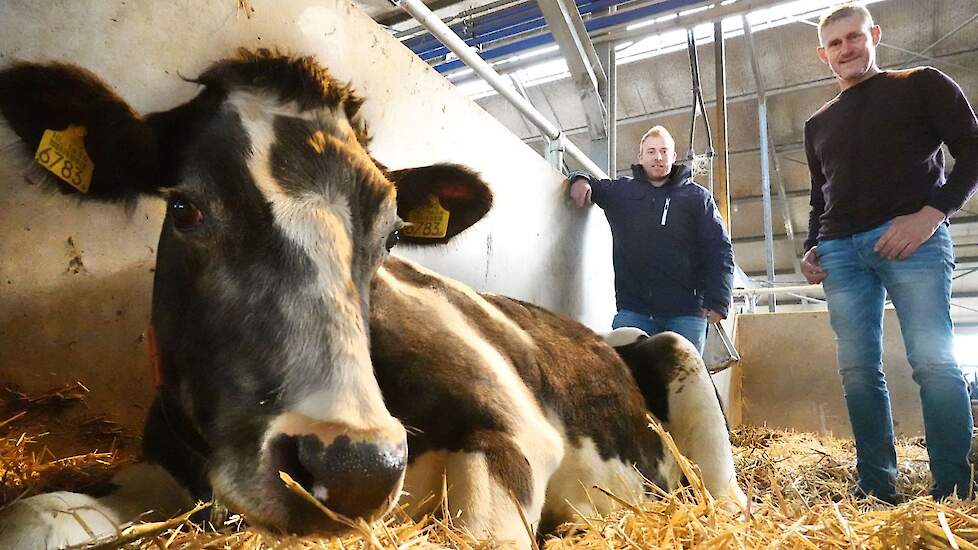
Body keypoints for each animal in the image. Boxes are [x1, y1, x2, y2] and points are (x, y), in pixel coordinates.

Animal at [0, 49, 745, 548]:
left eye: (390, 235)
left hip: (680, 360)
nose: (350, 465)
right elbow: (32, 515)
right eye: (184, 208)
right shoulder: (166, 466)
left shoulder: (513, 433)